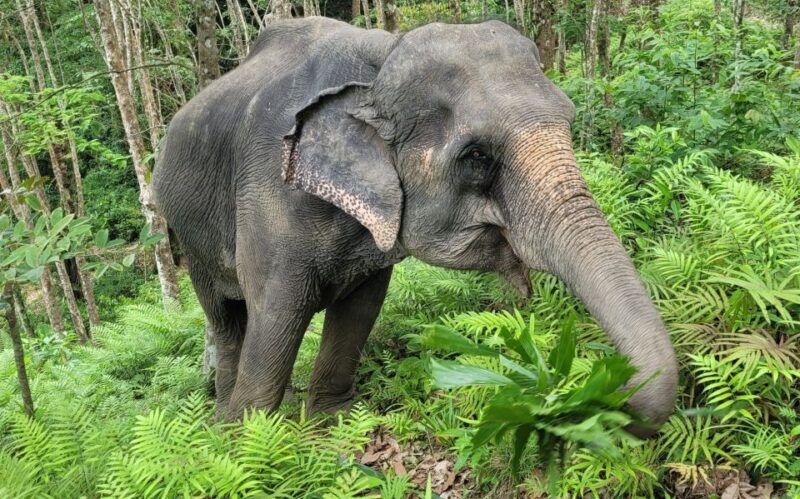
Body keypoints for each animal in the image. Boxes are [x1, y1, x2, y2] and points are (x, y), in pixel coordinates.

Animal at [152, 16, 678, 436]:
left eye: (568, 122)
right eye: (476, 156)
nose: (613, 396)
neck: (383, 56)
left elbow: (360, 310)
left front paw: (334, 423)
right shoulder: (269, 195)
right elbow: (277, 315)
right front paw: (249, 444)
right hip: (186, 233)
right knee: (227, 320)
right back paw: (220, 423)